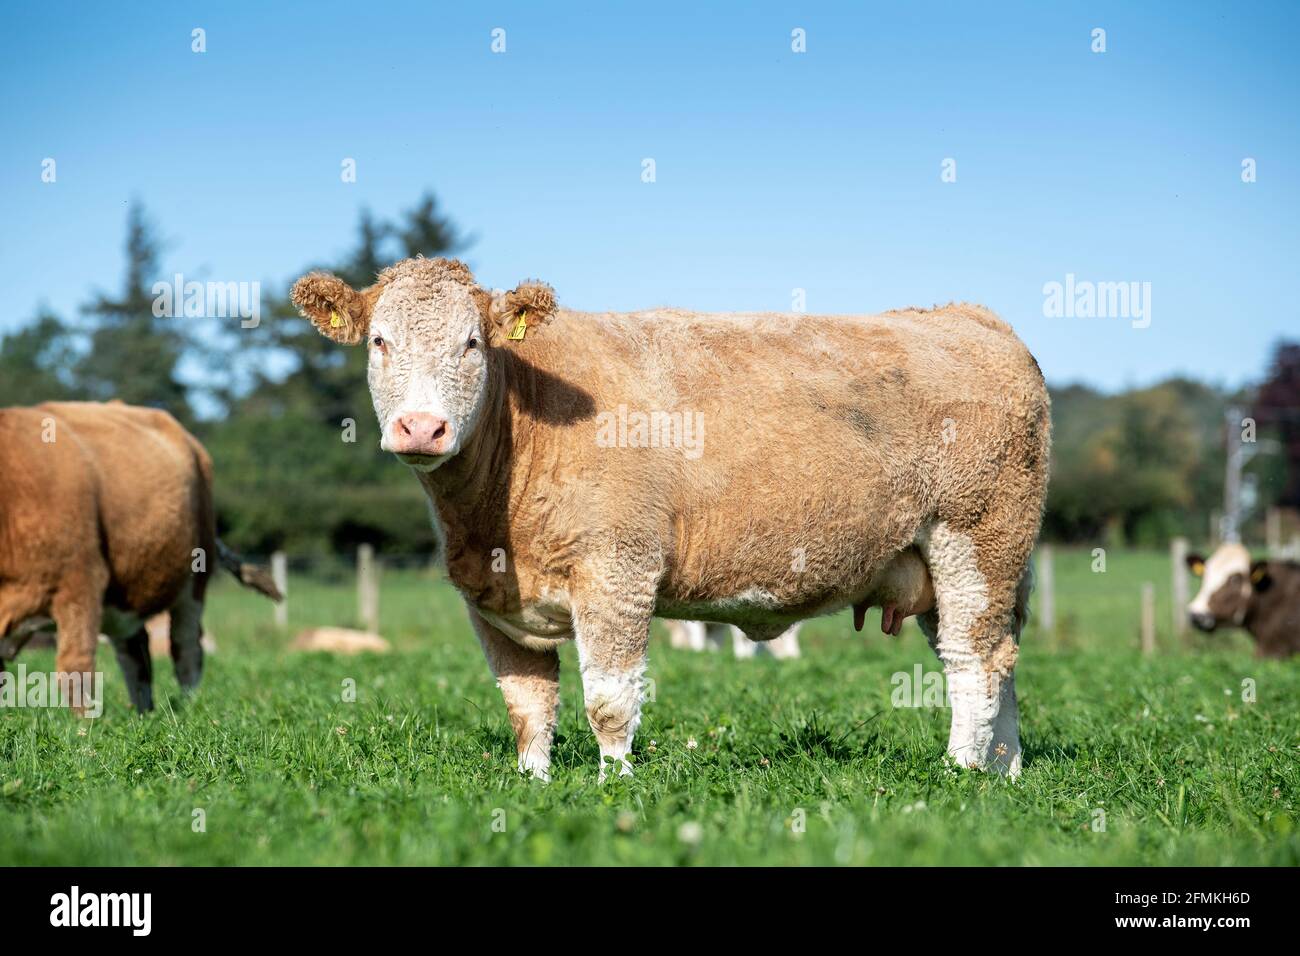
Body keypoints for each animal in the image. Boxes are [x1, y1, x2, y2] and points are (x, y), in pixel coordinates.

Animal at [0, 401, 281, 711]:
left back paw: (189, 706)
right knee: (135, 651)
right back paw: (143, 713)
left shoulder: (81, 583)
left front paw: (83, 725)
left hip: (195, 578)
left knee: (186, 648)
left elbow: (75, 668)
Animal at [292, 257, 1051, 780]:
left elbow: (609, 699)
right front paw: (532, 786)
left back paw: (959, 772)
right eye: (379, 341)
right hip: (953, 562)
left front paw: (615, 786)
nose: (422, 428)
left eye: (473, 344)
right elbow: (527, 706)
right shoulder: (492, 601)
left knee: (974, 661)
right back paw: (1005, 773)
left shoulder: (617, 571)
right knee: (999, 660)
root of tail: (969, 316)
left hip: (978, 538)